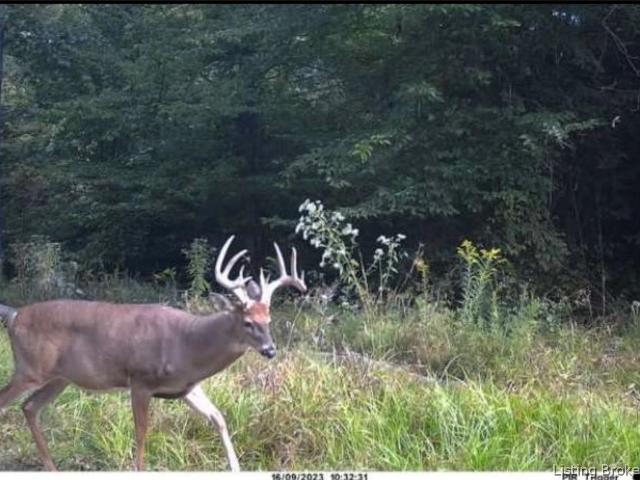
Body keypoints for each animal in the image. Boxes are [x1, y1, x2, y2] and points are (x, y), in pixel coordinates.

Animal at [0, 235, 306, 471]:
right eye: (247, 322)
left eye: (268, 320)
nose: (270, 350)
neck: (187, 345)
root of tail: (14, 316)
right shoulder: (140, 380)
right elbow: (141, 434)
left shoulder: (187, 387)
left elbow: (218, 418)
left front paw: (235, 468)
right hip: (29, 368)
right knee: (11, 400)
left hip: (59, 378)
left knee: (29, 407)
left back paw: (52, 467)